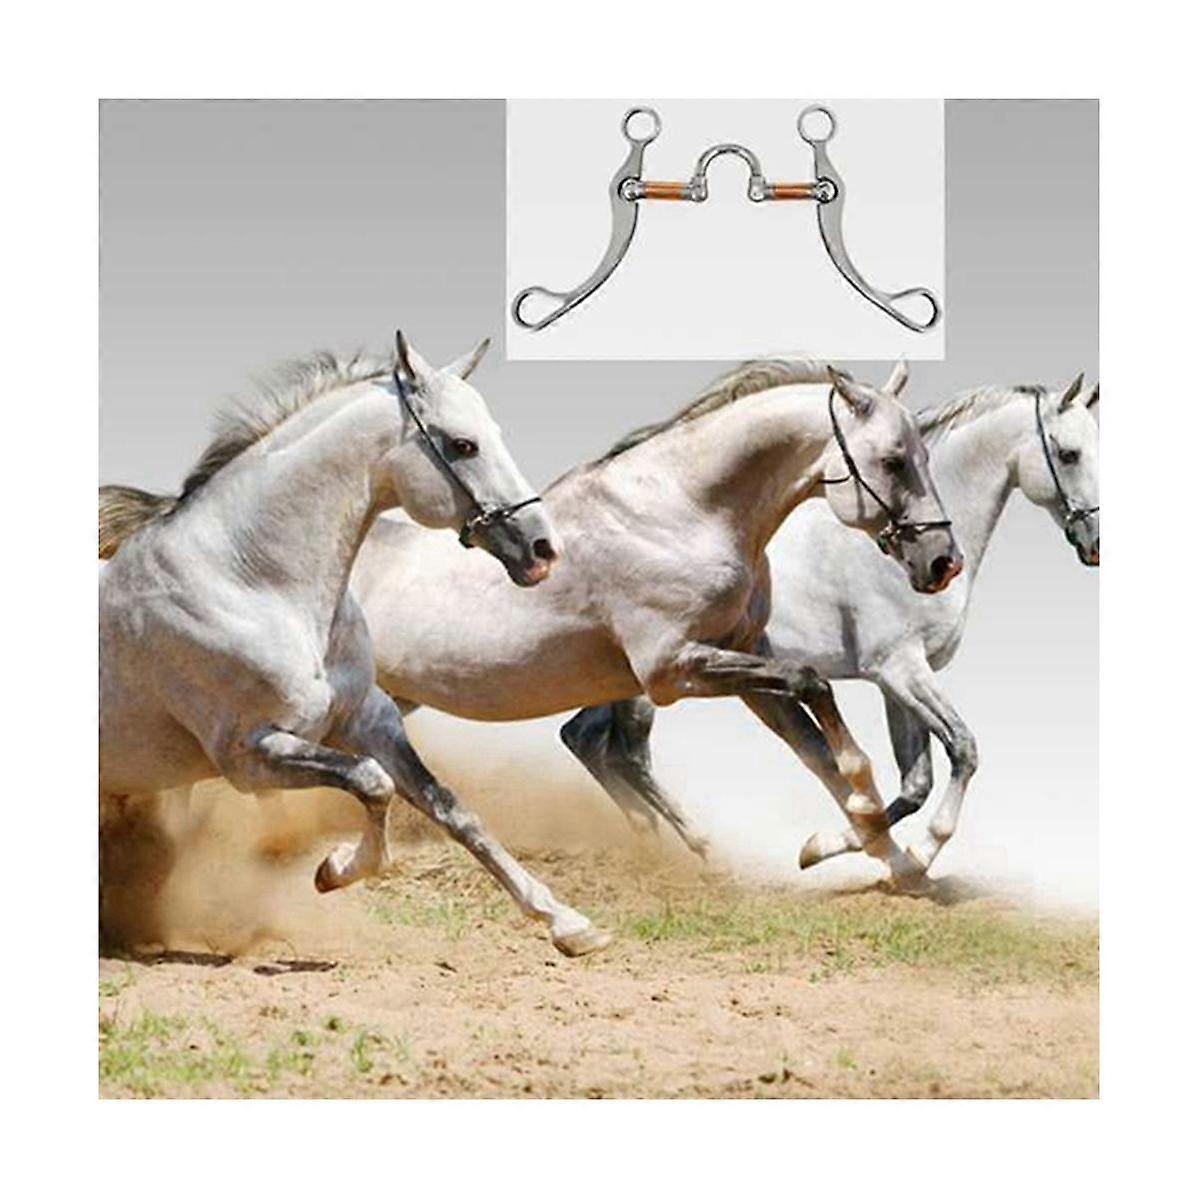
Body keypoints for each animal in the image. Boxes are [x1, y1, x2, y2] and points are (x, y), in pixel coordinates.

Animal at [99, 332, 617, 957]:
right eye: (463, 445)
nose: (544, 549)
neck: (251, 581)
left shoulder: (369, 718)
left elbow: (449, 806)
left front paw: (569, 924)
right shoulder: (251, 755)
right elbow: (373, 782)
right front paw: (336, 870)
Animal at [351, 359, 962, 883]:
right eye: (893, 460)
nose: (942, 562)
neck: (684, 513)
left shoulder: (747, 663)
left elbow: (815, 749)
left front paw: (888, 861)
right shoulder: (672, 671)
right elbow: (814, 687)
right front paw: (865, 804)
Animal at [562, 373, 1099, 878]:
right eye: (1069, 454)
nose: (1095, 543)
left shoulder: (896, 681)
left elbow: (915, 782)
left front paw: (837, 847)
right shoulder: (902, 670)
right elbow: (962, 750)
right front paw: (911, 853)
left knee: (584, 738)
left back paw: (649, 839)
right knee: (625, 752)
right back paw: (696, 845)